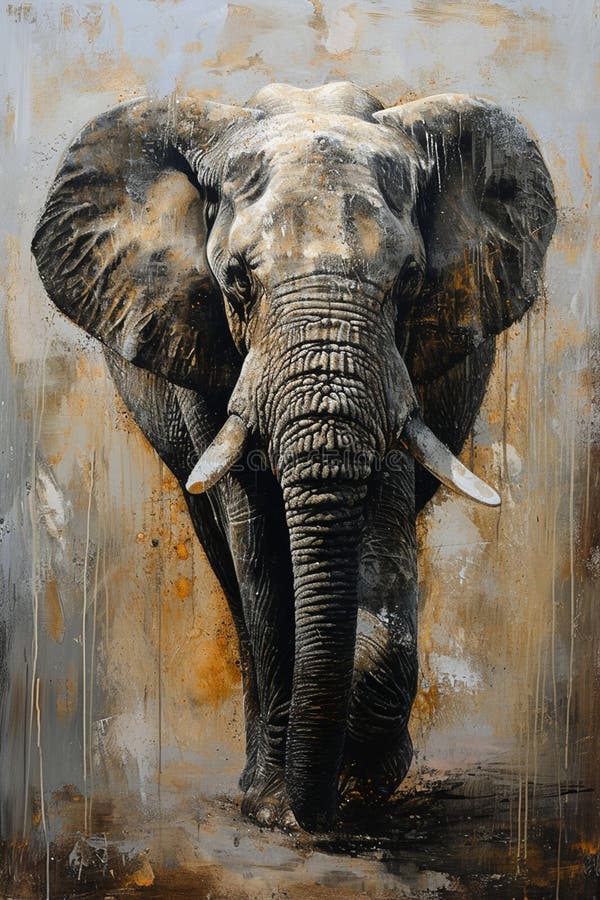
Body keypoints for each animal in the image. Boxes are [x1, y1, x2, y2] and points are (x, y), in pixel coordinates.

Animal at [31, 81, 555, 833]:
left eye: (411, 280)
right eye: (236, 281)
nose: (315, 811)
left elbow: (382, 514)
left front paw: (362, 785)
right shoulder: (201, 342)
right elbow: (256, 541)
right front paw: (279, 807)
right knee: (229, 563)